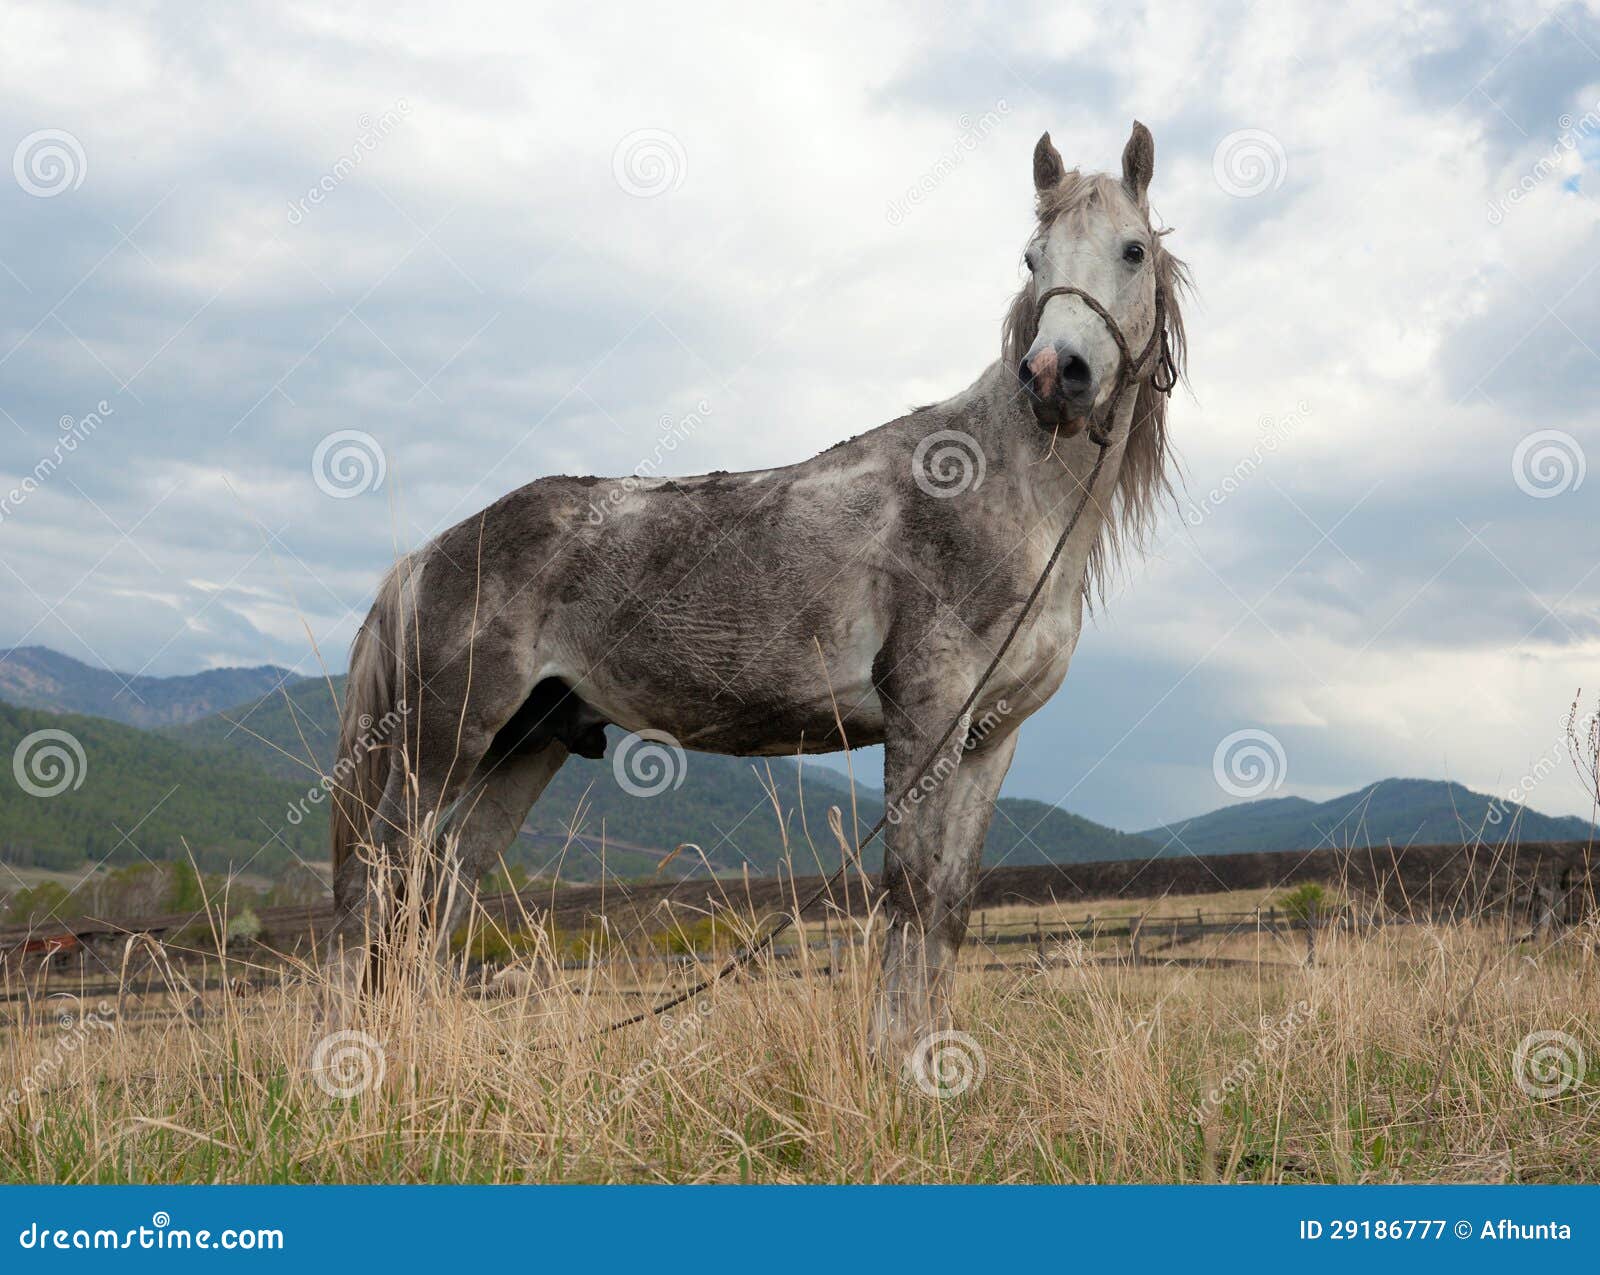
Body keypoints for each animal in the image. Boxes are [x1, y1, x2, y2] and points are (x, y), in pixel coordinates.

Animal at [327, 121, 1188, 1061]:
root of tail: (428, 555)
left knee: (440, 890)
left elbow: (951, 906)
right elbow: (910, 892)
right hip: (440, 745)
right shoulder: (926, 719)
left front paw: (929, 1055)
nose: (1054, 374)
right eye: (1033, 258)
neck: (999, 488)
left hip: (524, 747)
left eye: (1132, 250)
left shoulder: (990, 738)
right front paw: (889, 1058)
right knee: (381, 885)